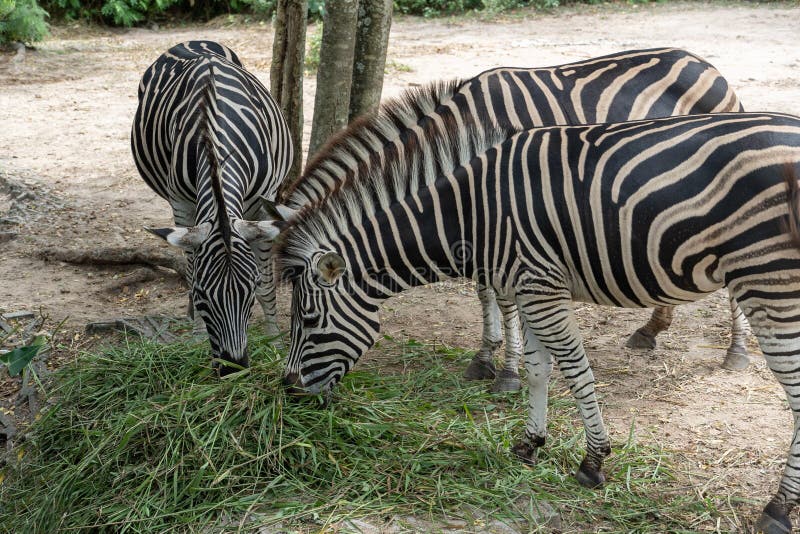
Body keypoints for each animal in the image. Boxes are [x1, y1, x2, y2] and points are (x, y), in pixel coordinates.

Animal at [131, 41, 292, 374]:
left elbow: (268, 285)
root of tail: (190, 41)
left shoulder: (263, 204)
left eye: (249, 290)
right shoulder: (181, 203)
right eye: (204, 295)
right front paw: (195, 340)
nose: (233, 369)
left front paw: (276, 346)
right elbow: (192, 274)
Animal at [276, 47, 746, 393]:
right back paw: (651, 328)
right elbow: (484, 290)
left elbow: (503, 296)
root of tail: (704, 63)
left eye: (308, 319)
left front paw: (509, 370)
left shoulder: (504, 216)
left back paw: (736, 352)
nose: (288, 387)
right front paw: (486, 356)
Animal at [276, 110, 800, 533]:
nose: (288, 393)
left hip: (767, 280)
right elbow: (537, 369)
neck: (472, 214)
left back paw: (778, 508)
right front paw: (530, 443)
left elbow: (576, 368)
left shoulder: (540, 286)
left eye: (308, 319)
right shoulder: (529, 289)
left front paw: (593, 461)